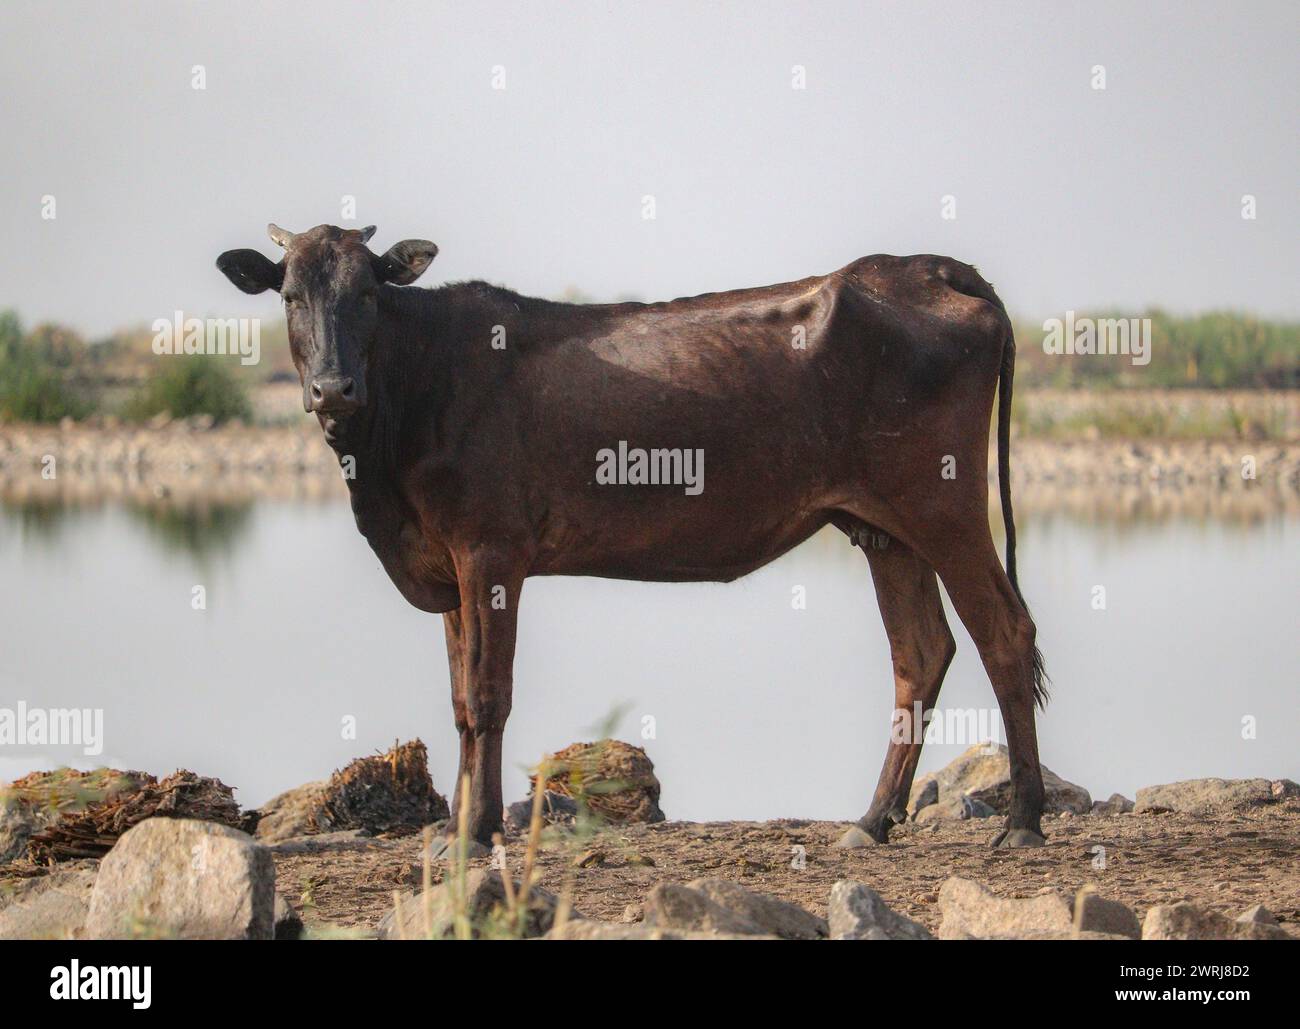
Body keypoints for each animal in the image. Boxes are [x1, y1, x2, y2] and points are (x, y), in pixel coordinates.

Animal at [217, 223, 1049, 851]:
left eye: (367, 293)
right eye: (289, 295)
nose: (332, 388)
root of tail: (924, 265)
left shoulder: (490, 550)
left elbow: (487, 695)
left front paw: (479, 833)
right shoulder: (446, 559)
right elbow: (457, 697)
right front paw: (457, 828)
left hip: (942, 503)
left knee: (1003, 632)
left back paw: (1023, 820)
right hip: (884, 527)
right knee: (920, 652)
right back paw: (872, 820)